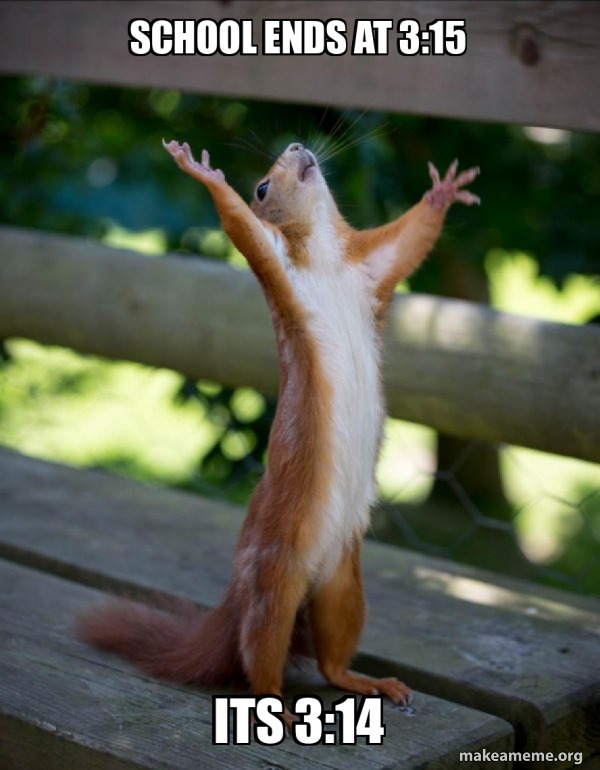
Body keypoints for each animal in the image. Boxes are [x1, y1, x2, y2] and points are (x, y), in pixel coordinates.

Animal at [77, 138, 479, 729]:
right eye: (262, 187)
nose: (296, 146)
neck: (326, 257)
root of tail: (239, 595)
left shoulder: (371, 267)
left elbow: (409, 240)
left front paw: (443, 192)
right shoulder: (277, 265)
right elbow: (240, 226)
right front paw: (204, 174)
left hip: (344, 586)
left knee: (331, 660)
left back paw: (369, 681)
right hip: (274, 584)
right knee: (258, 657)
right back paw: (282, 709)